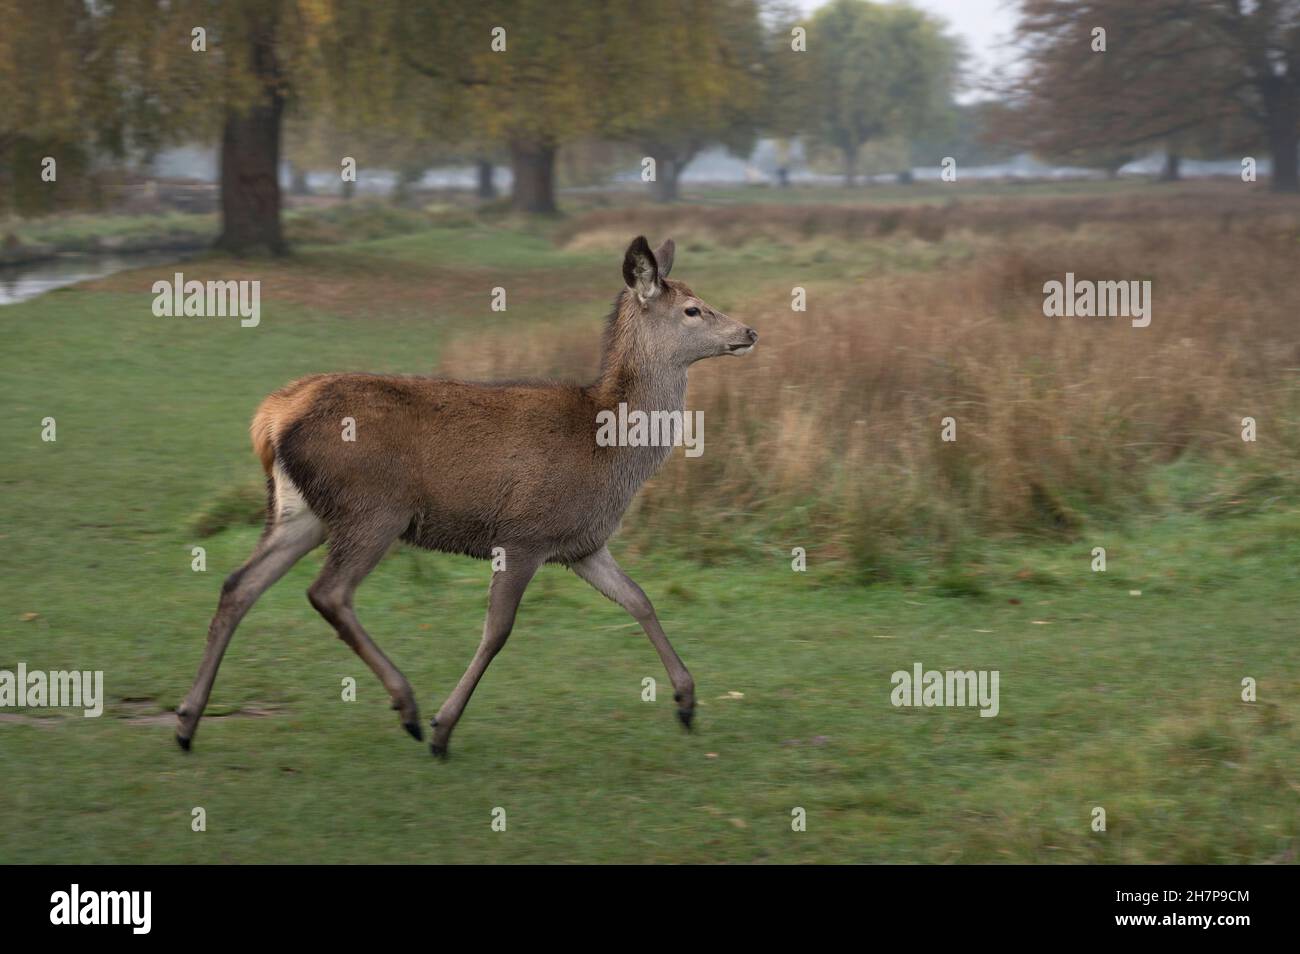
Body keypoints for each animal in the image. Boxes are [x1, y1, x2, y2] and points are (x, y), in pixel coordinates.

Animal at [176, 236, 758, 758]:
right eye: (692, 309)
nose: (749, 331)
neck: (608, 452)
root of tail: (270, 418)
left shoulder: (582, 544)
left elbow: (640, 599)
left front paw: (686, 701)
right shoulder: (524, 534)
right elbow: (498, 630)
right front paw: (444, 728)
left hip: (300, 511)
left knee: (239, 584)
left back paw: (187, 722)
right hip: (374, 509)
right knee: (328, 592)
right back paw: (408, 707)